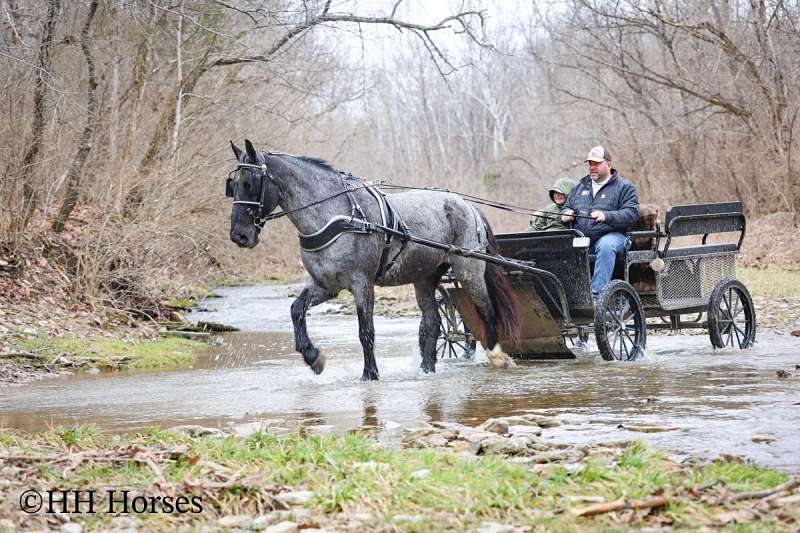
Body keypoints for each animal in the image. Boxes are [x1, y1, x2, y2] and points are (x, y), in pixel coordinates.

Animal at [226, 139, 520, 381]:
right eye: (233, 186)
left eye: (249, 183)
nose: (239, 235)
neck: (337, 215)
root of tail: (467, 205)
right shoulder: (325, 285)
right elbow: (296, 310)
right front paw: (313, 357)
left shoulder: (361, 283)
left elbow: (365, 331)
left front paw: (370, 373)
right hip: (425, 278)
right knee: (433, 322)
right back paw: (427, 368)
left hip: (469, 269)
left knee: (486, 309)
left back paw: (496, 355)